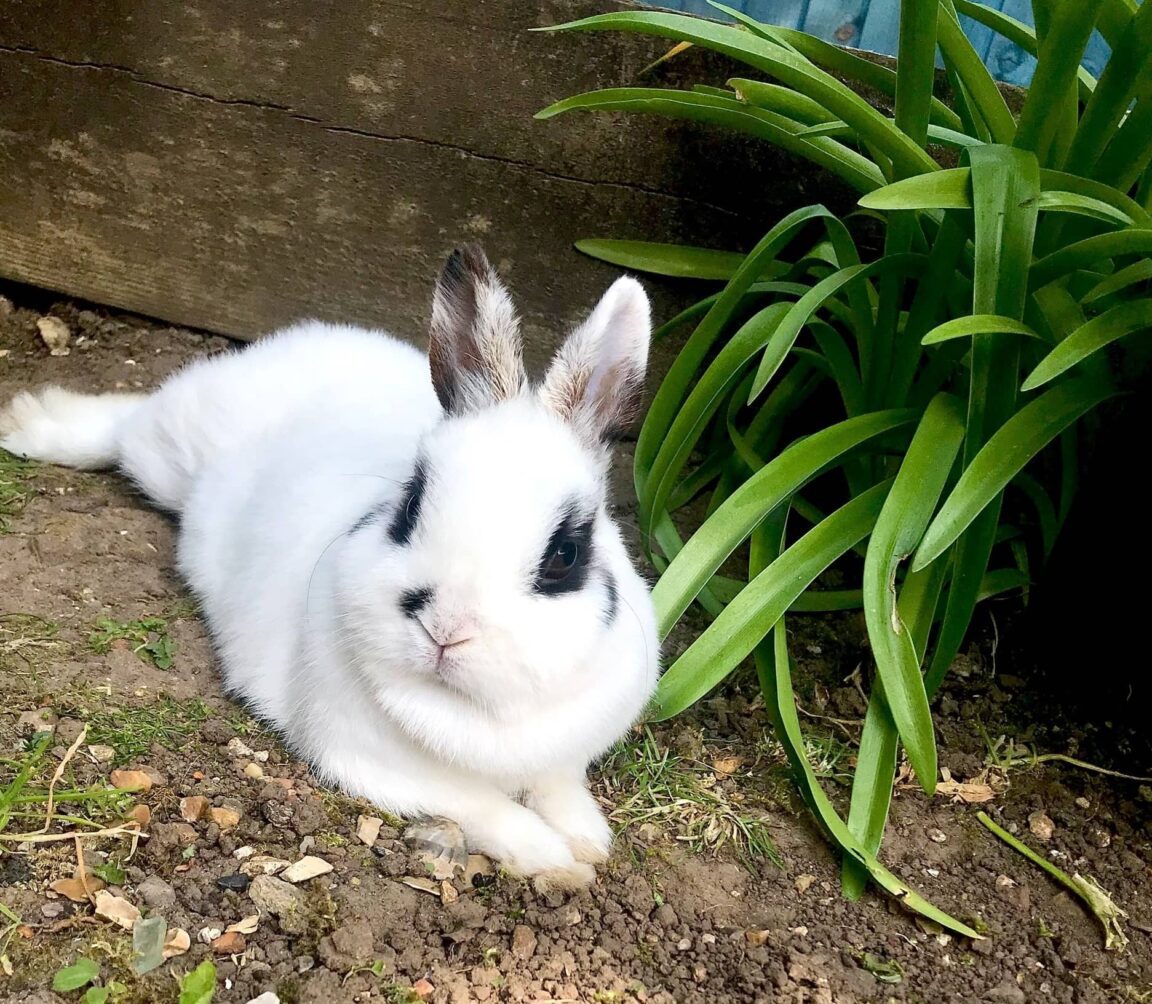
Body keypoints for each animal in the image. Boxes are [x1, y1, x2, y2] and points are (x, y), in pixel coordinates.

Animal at [0, 245, 660, 889]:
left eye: (564, 555)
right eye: (409, 506)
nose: (445, 629)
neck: (473, 714)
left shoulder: (563, 756)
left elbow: (559, 788)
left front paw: (589, 840)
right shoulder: (382, 765)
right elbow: (485, 808)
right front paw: (555, 860)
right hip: (168, 448)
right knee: (122, 427)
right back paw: (30, 422)